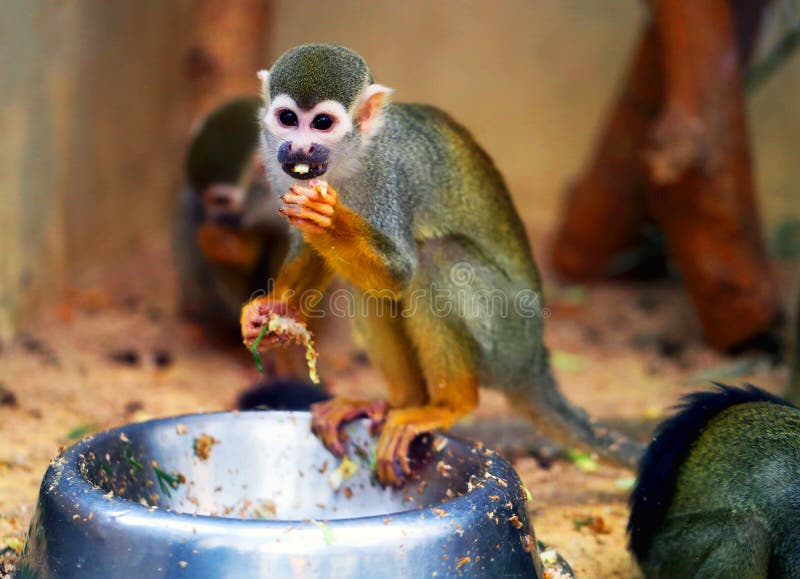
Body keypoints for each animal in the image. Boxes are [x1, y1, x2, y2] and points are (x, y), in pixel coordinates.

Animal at [241, 43, 644, 486]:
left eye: (323, 123)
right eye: (288, 119)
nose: (299, 150)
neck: (350, 158)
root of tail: (535, 362)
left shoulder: (389, 178)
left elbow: (399, 271)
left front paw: (330, 223)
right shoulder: (276, 162)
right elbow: (313, 248)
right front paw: (271, 311)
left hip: (506, 337)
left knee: (434, 260)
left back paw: (450, 404)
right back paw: (398, 401)